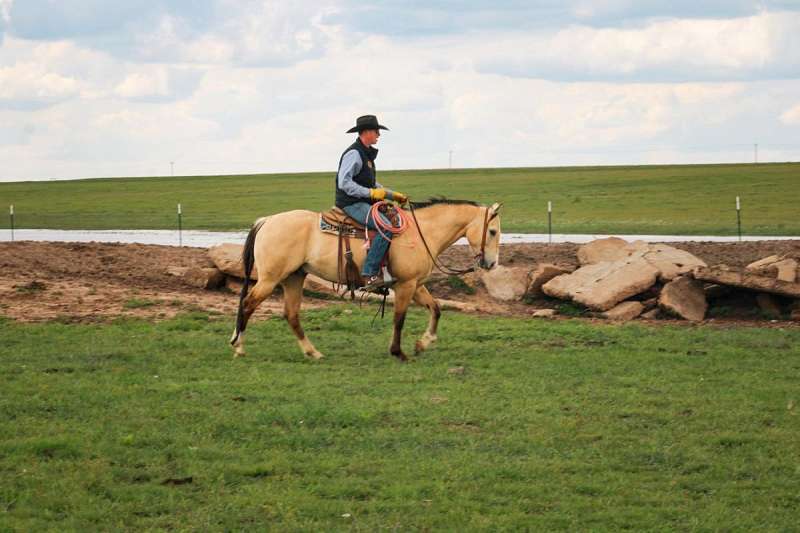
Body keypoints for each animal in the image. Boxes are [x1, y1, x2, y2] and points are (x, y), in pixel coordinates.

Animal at [229, 199, 502, 361]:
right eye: (492, 231)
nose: (491, 264)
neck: (420, 232)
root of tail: (267, 221)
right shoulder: (405, 285)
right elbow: (399, 319)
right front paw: (398, 352)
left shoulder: (416, 285)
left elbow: (435, 309)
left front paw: (423, 344)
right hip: (270, 279)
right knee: (247, 305)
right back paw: (239, 346)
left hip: (293, 278)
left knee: (291, 315)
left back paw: (313, 352)